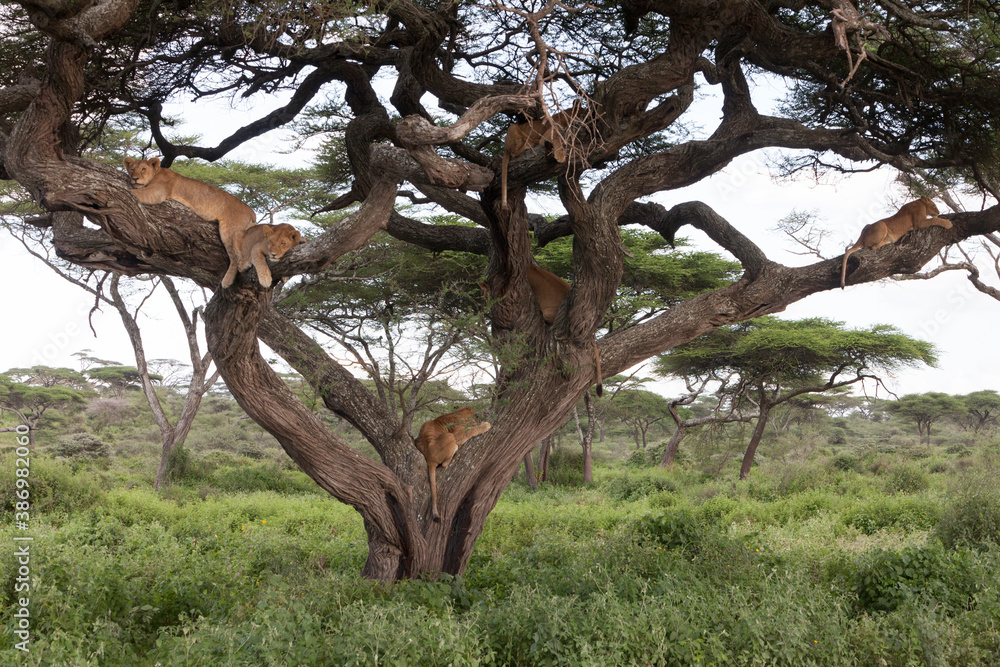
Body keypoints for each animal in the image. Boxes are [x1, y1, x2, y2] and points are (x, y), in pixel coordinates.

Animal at [123, 157, 256, 270]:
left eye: (143, 169)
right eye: (132, 169)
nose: (135, 178)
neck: (157, 173)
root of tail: (251, 212)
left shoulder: (156, 192)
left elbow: (134, 192)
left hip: (231, 229)